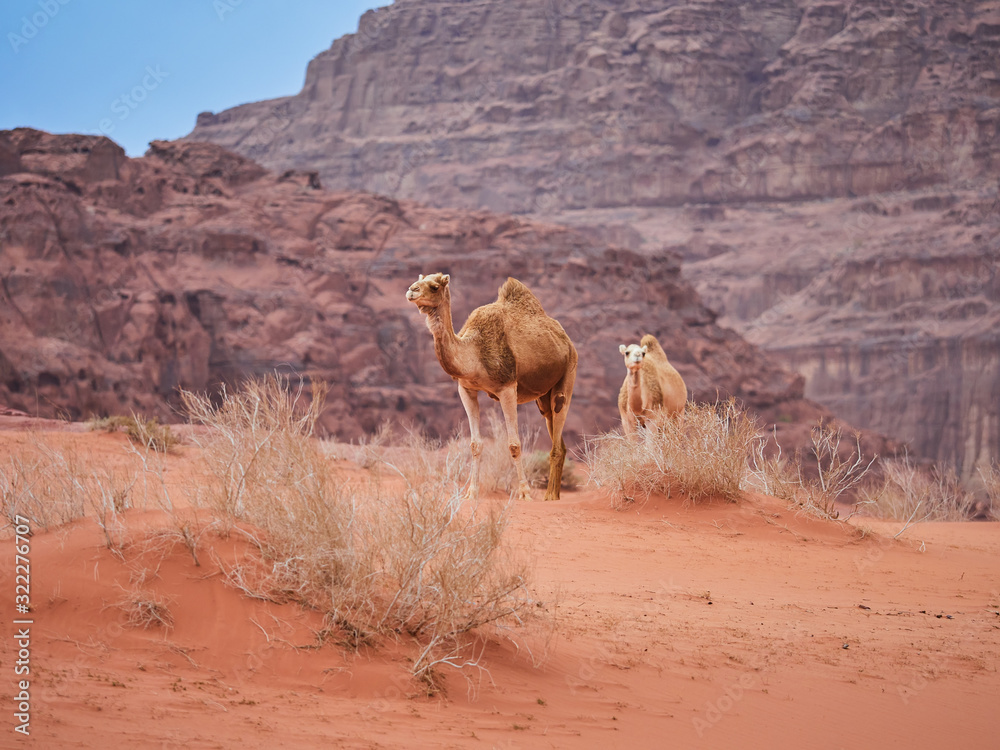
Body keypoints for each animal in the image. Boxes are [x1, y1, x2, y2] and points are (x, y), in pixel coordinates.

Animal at [405, 273, 578, 502]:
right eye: (420, 280)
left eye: (434, 286)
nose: (411, 290)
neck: (475, 351)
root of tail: (566, 340)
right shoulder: (466, 389)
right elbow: (475, 444)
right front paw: (471, 492)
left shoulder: (507, 387)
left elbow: (514, 444)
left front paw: (524, 492)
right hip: (543, 397)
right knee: (556, 431)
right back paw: (555, 495)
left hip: (568, 373)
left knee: (558, 432)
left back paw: (549, 496)